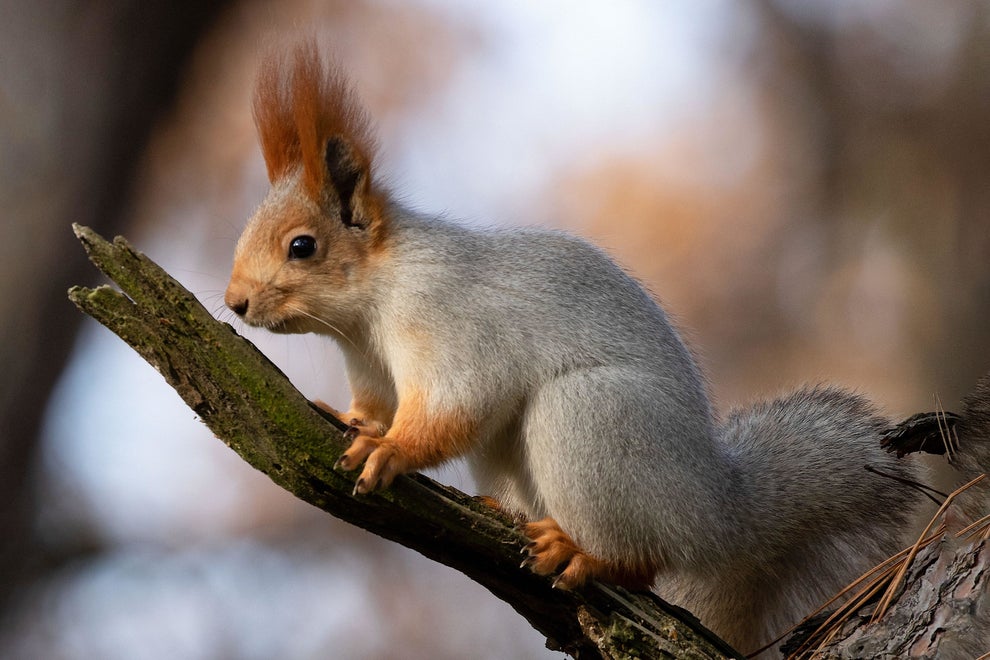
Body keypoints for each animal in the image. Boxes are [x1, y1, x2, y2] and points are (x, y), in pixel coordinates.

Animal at [224, 42, 924, 655]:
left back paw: (585, 553)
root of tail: (720, 512)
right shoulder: (368, 361)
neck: (372, 305)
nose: (235, 302)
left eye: (302, 246)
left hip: (590, 418)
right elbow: (375, 402)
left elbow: (457, 402)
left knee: (645, 558)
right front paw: (354, 421)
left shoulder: (449, 320)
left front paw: (392, 449)